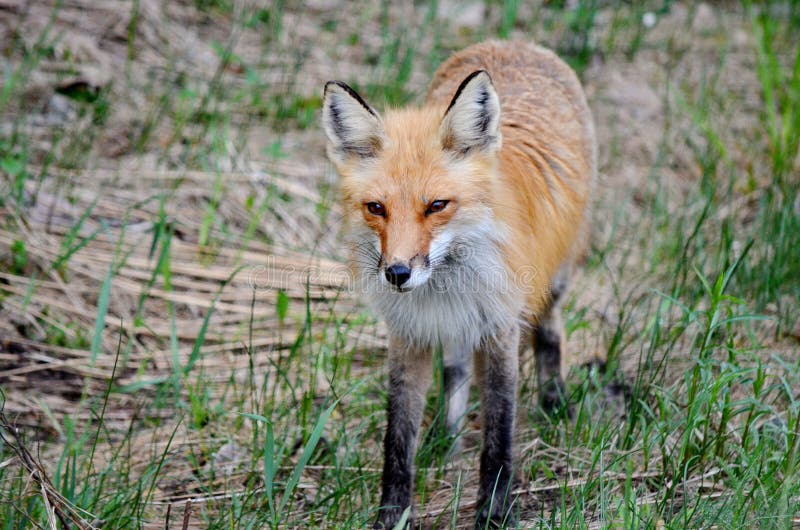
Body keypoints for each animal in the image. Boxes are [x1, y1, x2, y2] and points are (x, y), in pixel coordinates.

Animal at [321, 40, 596, 528]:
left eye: (436, 205)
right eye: (376, 208)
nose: (397, 273)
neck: (444, 284)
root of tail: (515, 43)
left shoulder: (501, 329)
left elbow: (499, 434)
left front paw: (494, 512)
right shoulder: (408, 334)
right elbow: (397, 438)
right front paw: (392, 515)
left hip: (558, 275)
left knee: (550, 332)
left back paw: (554, 400)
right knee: (456, 368)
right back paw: (445, 439)